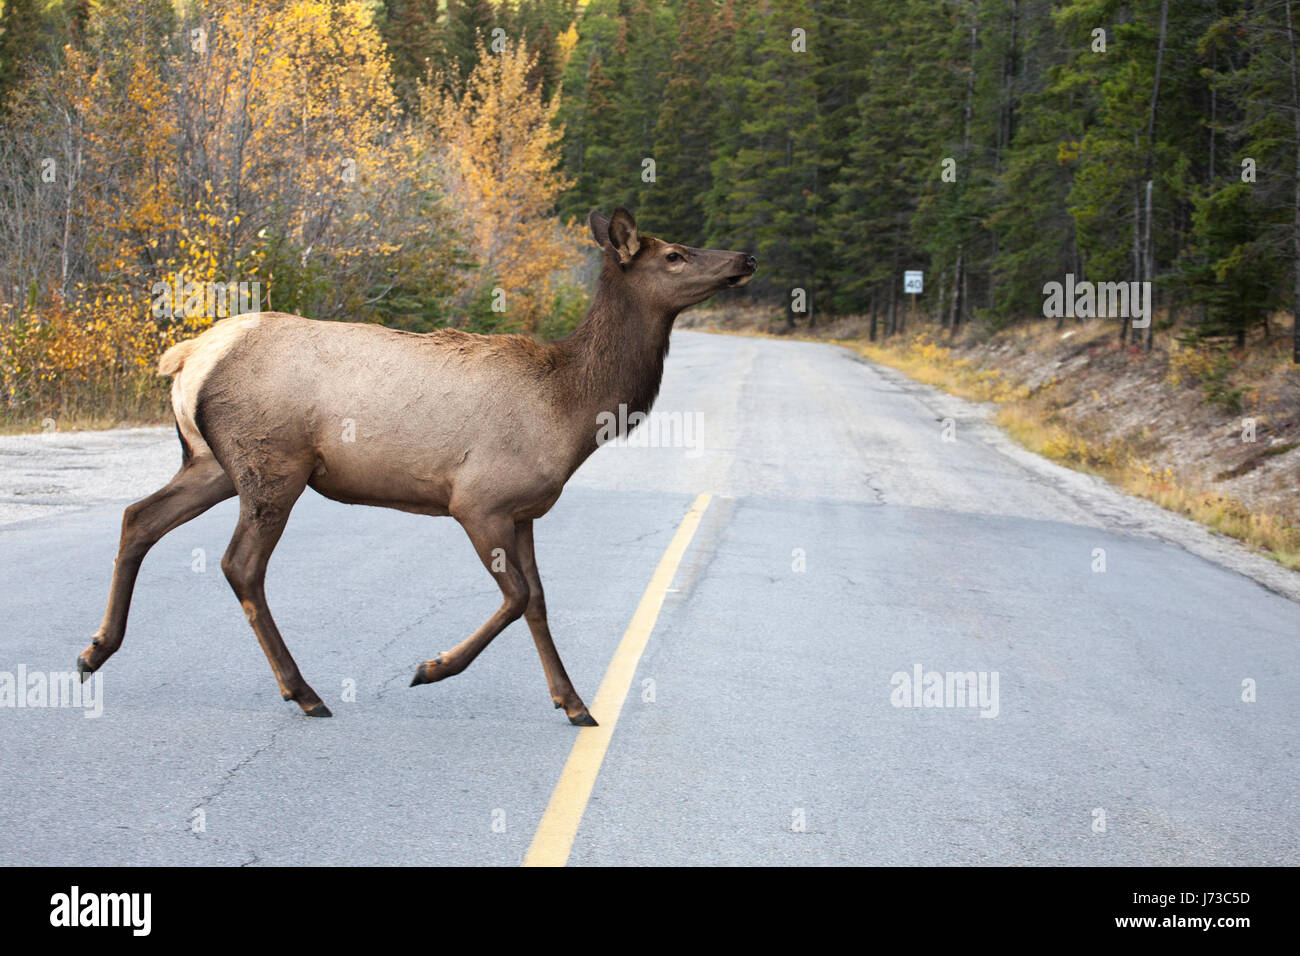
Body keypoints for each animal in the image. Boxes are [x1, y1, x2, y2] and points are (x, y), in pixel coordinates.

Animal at [78, 208, 756, 725]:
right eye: (674, 254)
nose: (745, 258)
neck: (572, 409)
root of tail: (190, 356)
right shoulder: (477, 500)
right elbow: (516, 597)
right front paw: (432, 668)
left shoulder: (525, 512)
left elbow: (538, 600)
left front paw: (573, 703)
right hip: (273, 462)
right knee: (239, 564)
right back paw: (304, 691)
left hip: (213, 463)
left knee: (138, 516)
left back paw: (95, 650)